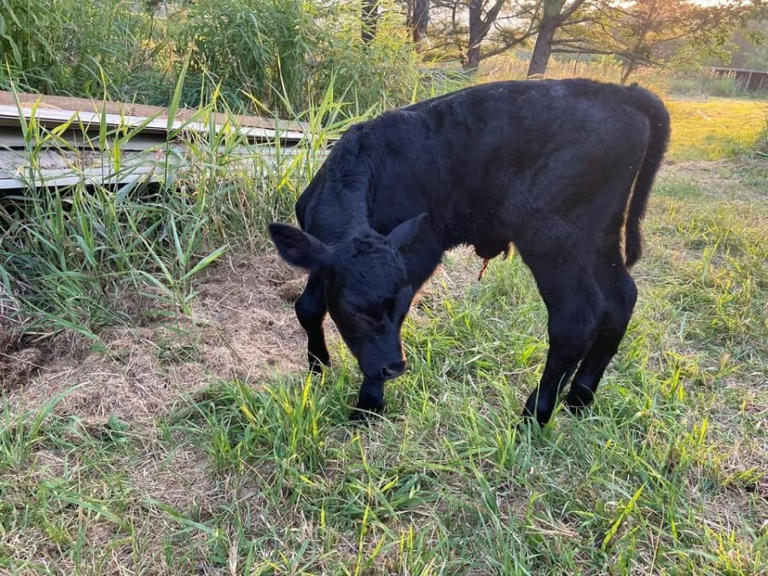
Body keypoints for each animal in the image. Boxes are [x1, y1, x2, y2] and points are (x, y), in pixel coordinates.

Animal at [269, 79, 670, 426]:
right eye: (355, 309)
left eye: (402, 302)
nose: (395, 368)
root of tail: (619, 91)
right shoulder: (324, 259)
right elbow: (307, 307)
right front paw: (319, 367)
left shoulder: (419, 252)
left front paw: (368, 405)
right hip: (600, 235)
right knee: (622, 298)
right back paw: (579, 399)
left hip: (554, 236)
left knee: (576, 320)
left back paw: (534, 415)